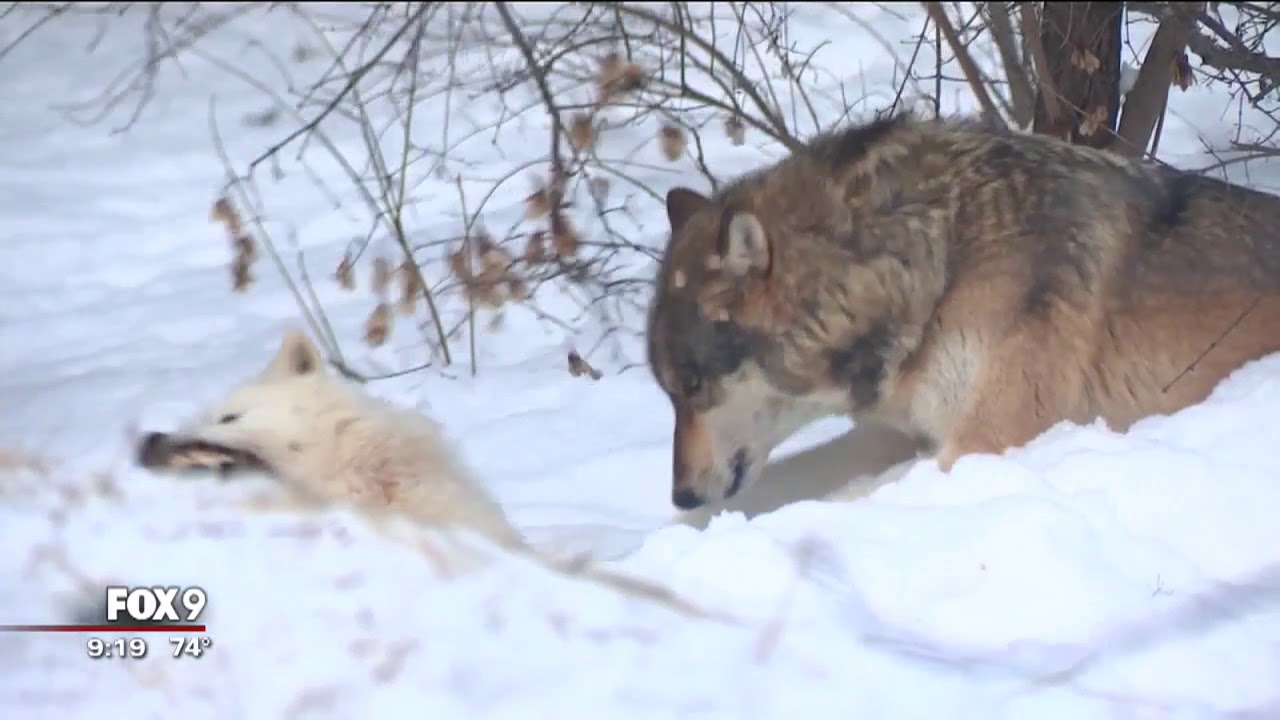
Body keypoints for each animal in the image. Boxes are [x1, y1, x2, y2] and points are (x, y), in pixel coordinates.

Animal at [647, 110, 1280, 512]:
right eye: (670, 394)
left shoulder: (981, 444)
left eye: (693, 385)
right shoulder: (895, 432)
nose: (679, 492)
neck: (940, 262)